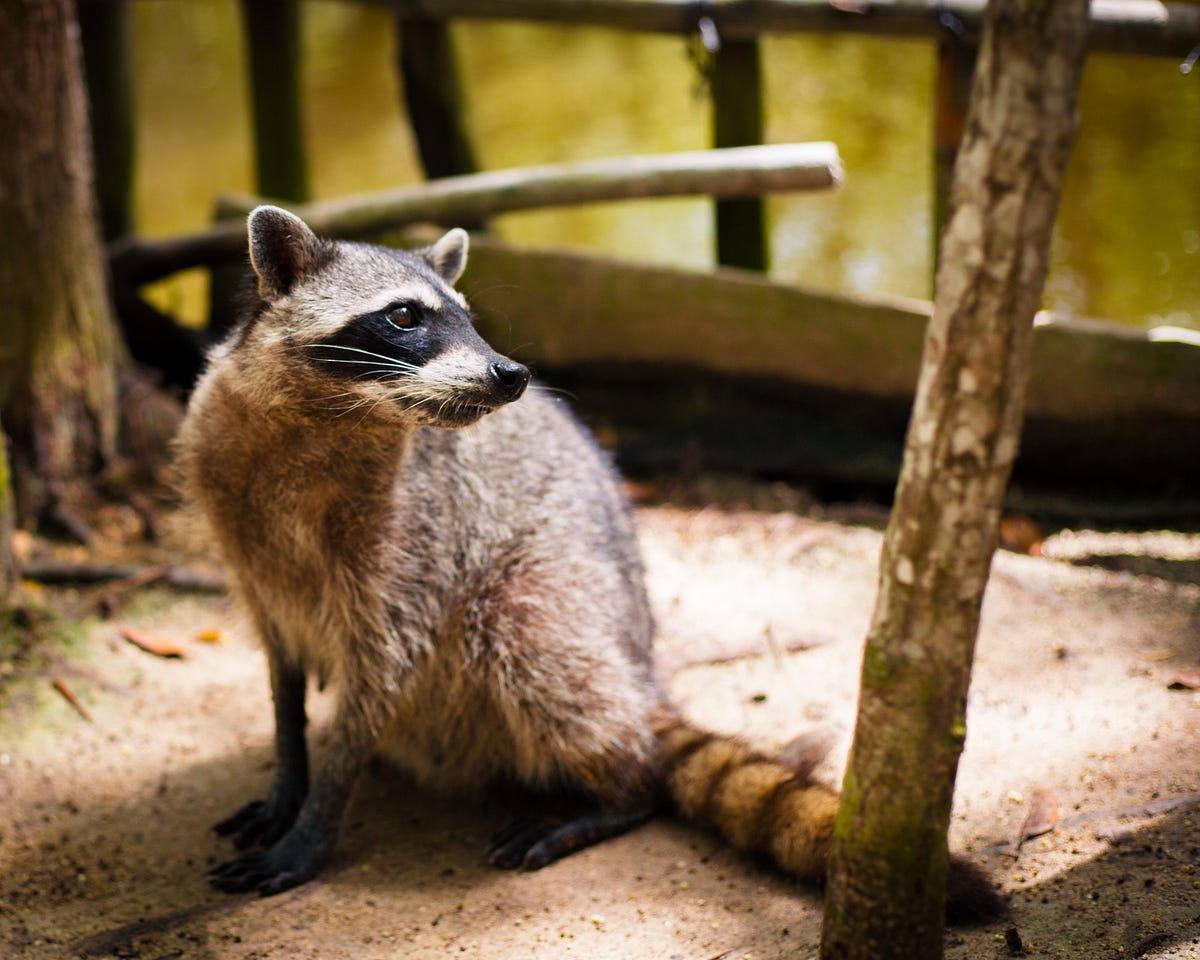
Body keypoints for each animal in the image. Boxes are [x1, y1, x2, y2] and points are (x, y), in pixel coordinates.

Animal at [177, 207, 1001, 919]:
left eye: (468, 315)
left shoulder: (414, 539)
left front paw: (319, 815)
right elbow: (281, 671)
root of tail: (641, 667)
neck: (328, 416)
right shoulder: (241, 520)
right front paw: (292, 775)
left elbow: (381, 672)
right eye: (404, 316)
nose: (509, 373)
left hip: (549, 594)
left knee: (532, 644)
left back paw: (613, 794)